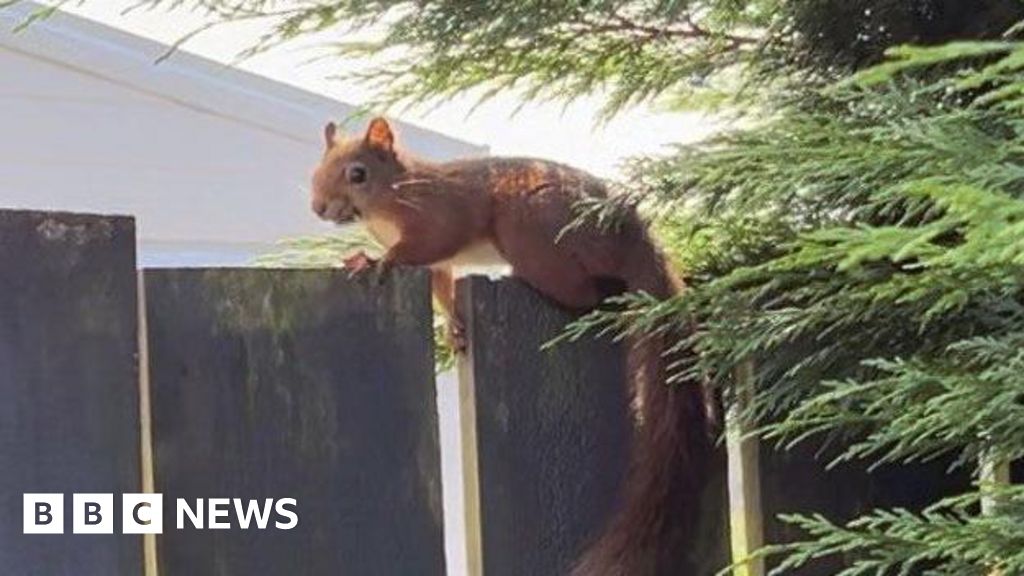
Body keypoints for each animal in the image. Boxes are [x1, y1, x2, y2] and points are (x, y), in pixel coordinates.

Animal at [311, 117, 711, 576]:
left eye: (357, 174)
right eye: (318, 167)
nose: (318, 207)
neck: (395, 192)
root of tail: (636, 236)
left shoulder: (439, 218)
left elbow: (420, 248)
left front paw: (377, 261)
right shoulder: (440, 265)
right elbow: (443, 289)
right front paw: (454, 328)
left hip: (528, 228)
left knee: (583, 293)